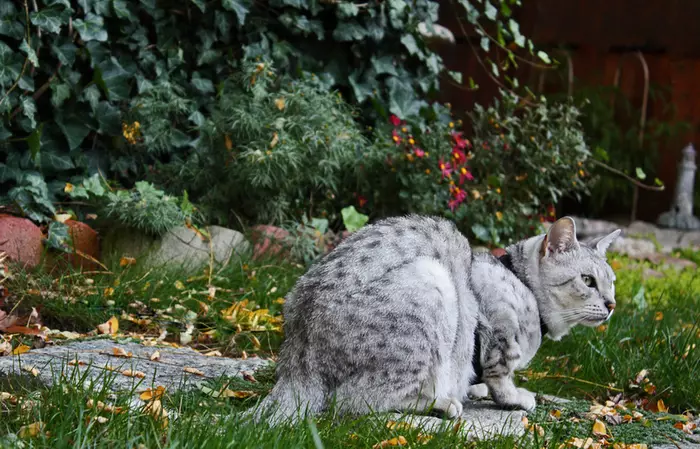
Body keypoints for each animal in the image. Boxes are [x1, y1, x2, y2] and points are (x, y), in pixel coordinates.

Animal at [249, 214, 620, 424]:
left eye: (612, 282)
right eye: (588, 281)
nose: (612, 303)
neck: (522, 282)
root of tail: (298, 360)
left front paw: (477, 388)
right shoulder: (498, 327)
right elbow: (501, 375)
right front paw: (513, 397)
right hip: (432, 284)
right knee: (354, 401)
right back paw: (441, 404)